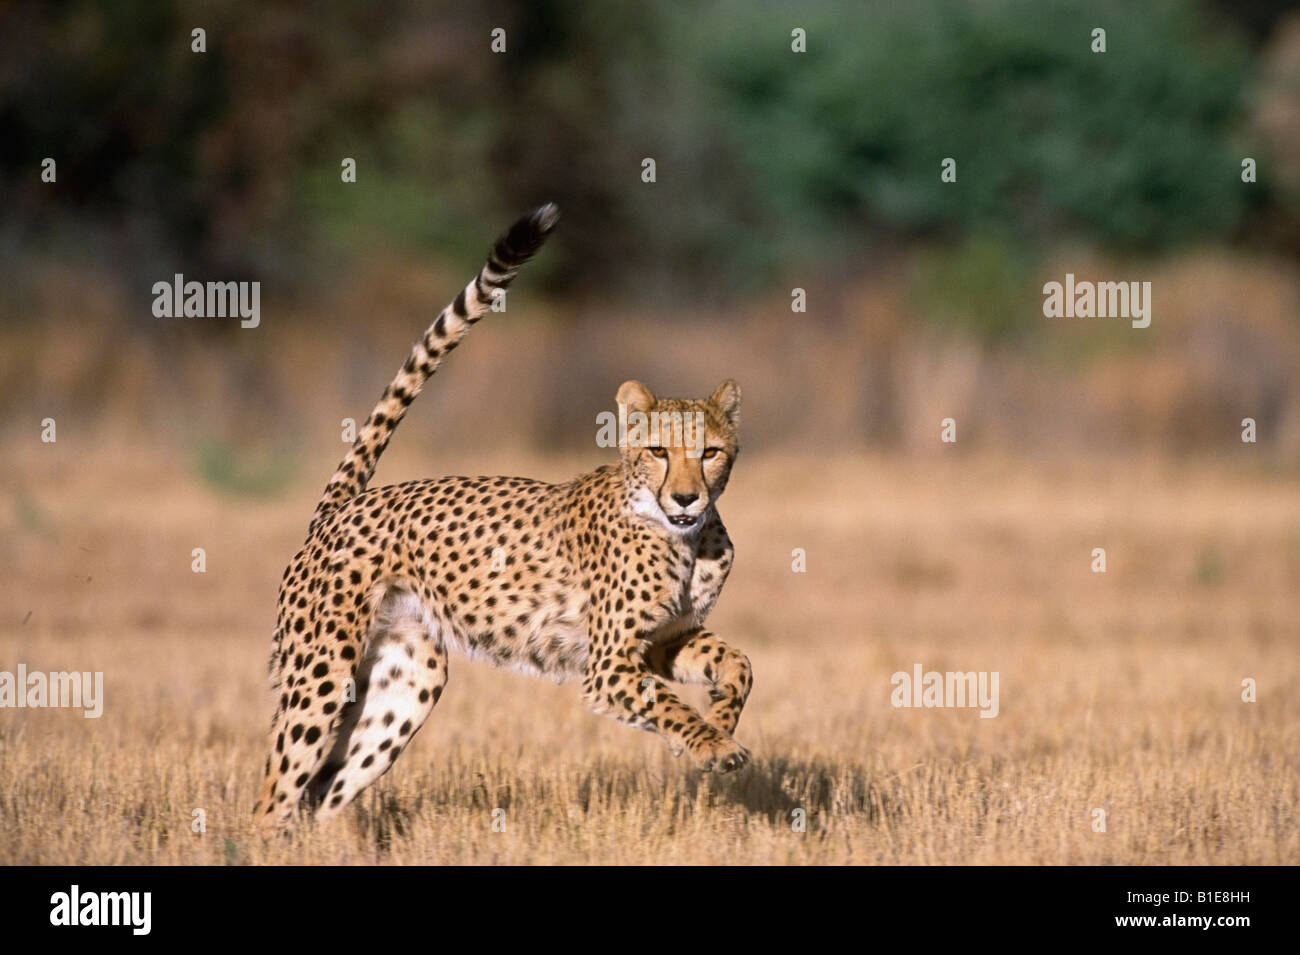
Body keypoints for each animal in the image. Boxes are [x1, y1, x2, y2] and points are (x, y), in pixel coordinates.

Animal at [254, 203, 752, 829]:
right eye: (659, 451)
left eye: (709, 452)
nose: (686, 498)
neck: (684, 539)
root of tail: (341, 507)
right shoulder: (609, 666)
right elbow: (664, 701)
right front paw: (713, 743)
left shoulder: (665, 640)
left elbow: (740, 662)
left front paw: (721, 720)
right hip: (321, 671)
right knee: (274, 794)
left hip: (405, 686)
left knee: (319, 793)